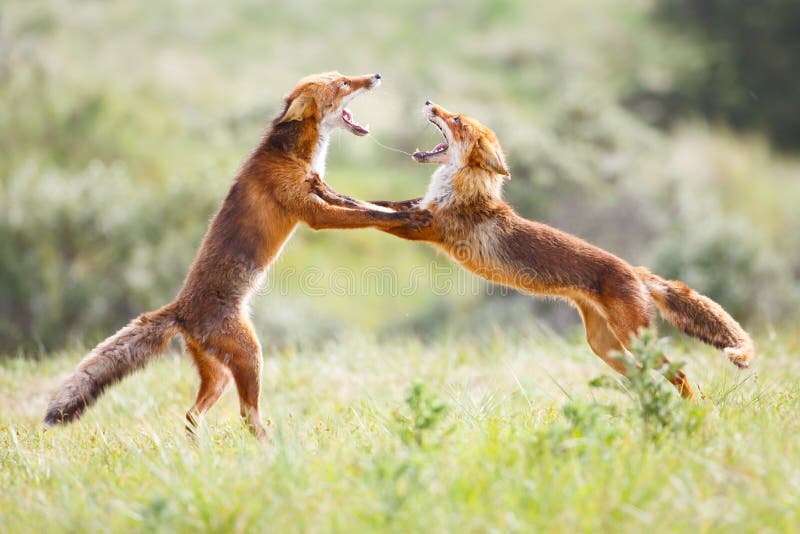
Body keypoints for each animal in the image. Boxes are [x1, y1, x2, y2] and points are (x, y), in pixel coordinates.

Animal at [43, 72, 430, 439]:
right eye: (344, 83)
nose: (375, 76)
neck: (295, 155)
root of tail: (180, 309)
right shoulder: (312, 212)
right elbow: (370, 215)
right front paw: (411, 219)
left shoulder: (325, 192)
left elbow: (369, 203)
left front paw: (410, 207)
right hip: (250, 357)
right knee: (246, 415)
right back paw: (272, 448)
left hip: (220, 376)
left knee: (191, 416)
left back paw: (197, 451)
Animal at [311, 101, 755, 399]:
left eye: (457, 121)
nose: (429, 102)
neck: (460, 190)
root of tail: (636, 269)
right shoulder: (418, 209)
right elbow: (374, 202)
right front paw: (326, 190)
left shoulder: (424, 227)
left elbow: (370, 212)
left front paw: (326, 196)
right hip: (608, 349)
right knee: (651, 378)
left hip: (632, 341)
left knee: (680, 374)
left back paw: (694, 413)